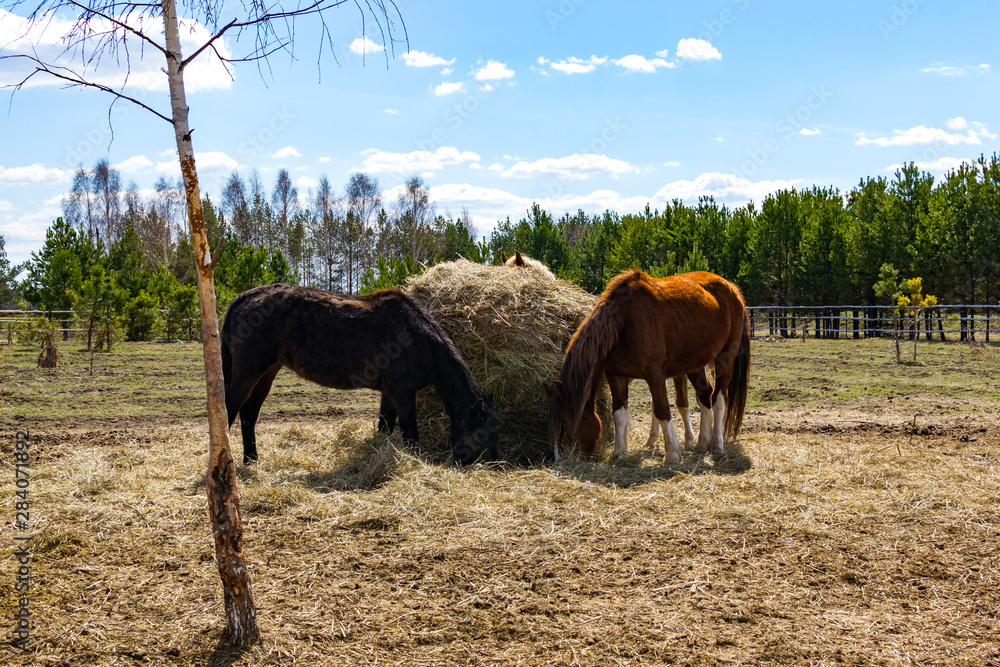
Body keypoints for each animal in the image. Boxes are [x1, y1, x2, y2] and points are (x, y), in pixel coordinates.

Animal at [221, 283, 499, 466]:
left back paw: (251, 460)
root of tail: (245, 297)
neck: (418, 338)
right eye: (482, 435)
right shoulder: (403, 391)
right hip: (248, 372)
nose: (495, 465)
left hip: (267, 373)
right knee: (229, 409)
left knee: (248, 415)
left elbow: (385, 427)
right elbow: (410, 432)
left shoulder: (389, 392)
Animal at [548, 270, 750, 463]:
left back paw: (717, 445)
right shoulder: (616, 375)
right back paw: (702, 443)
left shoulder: (655, 373)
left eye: (564, 425)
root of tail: (732, 288)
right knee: (705, 395)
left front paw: (672, 454)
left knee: (719, 398)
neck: (623, 322)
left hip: (724, 358)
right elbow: (619, 414)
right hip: (694, 363)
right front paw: (619, 453)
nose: (559, 459)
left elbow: (662, 410)